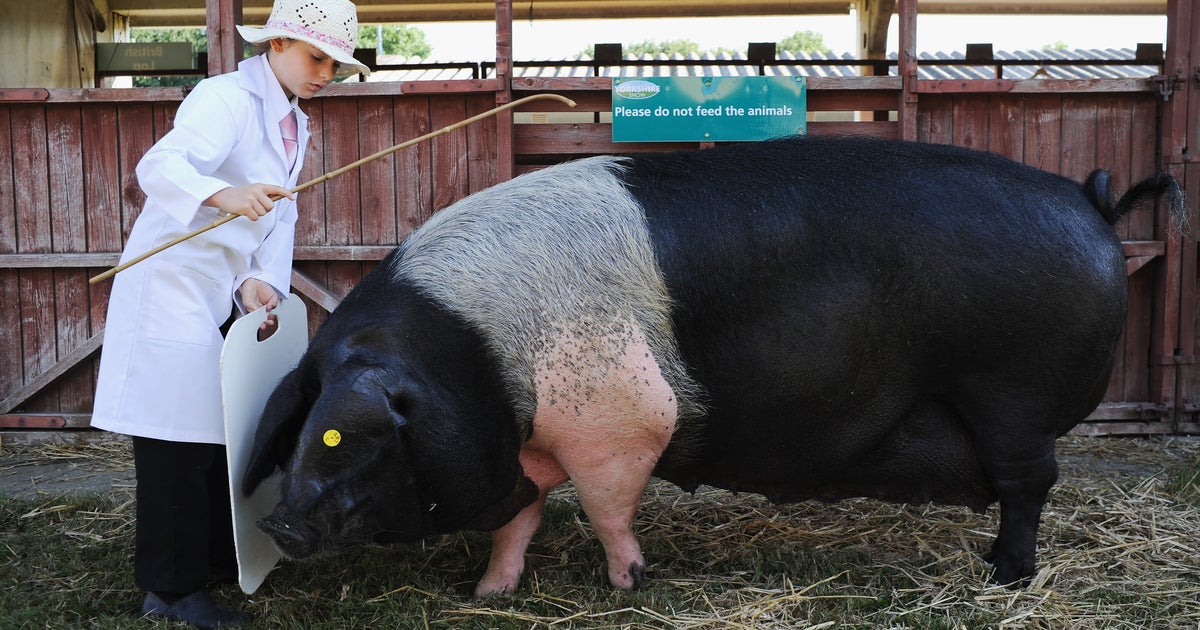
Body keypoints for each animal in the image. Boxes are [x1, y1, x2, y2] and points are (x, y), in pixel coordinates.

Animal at [243, 136, 1185, 595]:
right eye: (299, 429)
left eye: (345, 436)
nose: (278, 525)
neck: (477, 358)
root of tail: (1089, 202)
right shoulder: (531, 443)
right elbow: (523, 515)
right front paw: (490, 595)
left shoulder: (623, 416)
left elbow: (606, 504)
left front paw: (629, 585)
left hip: (1012, 396)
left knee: (1030, 485)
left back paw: (1005, 574)